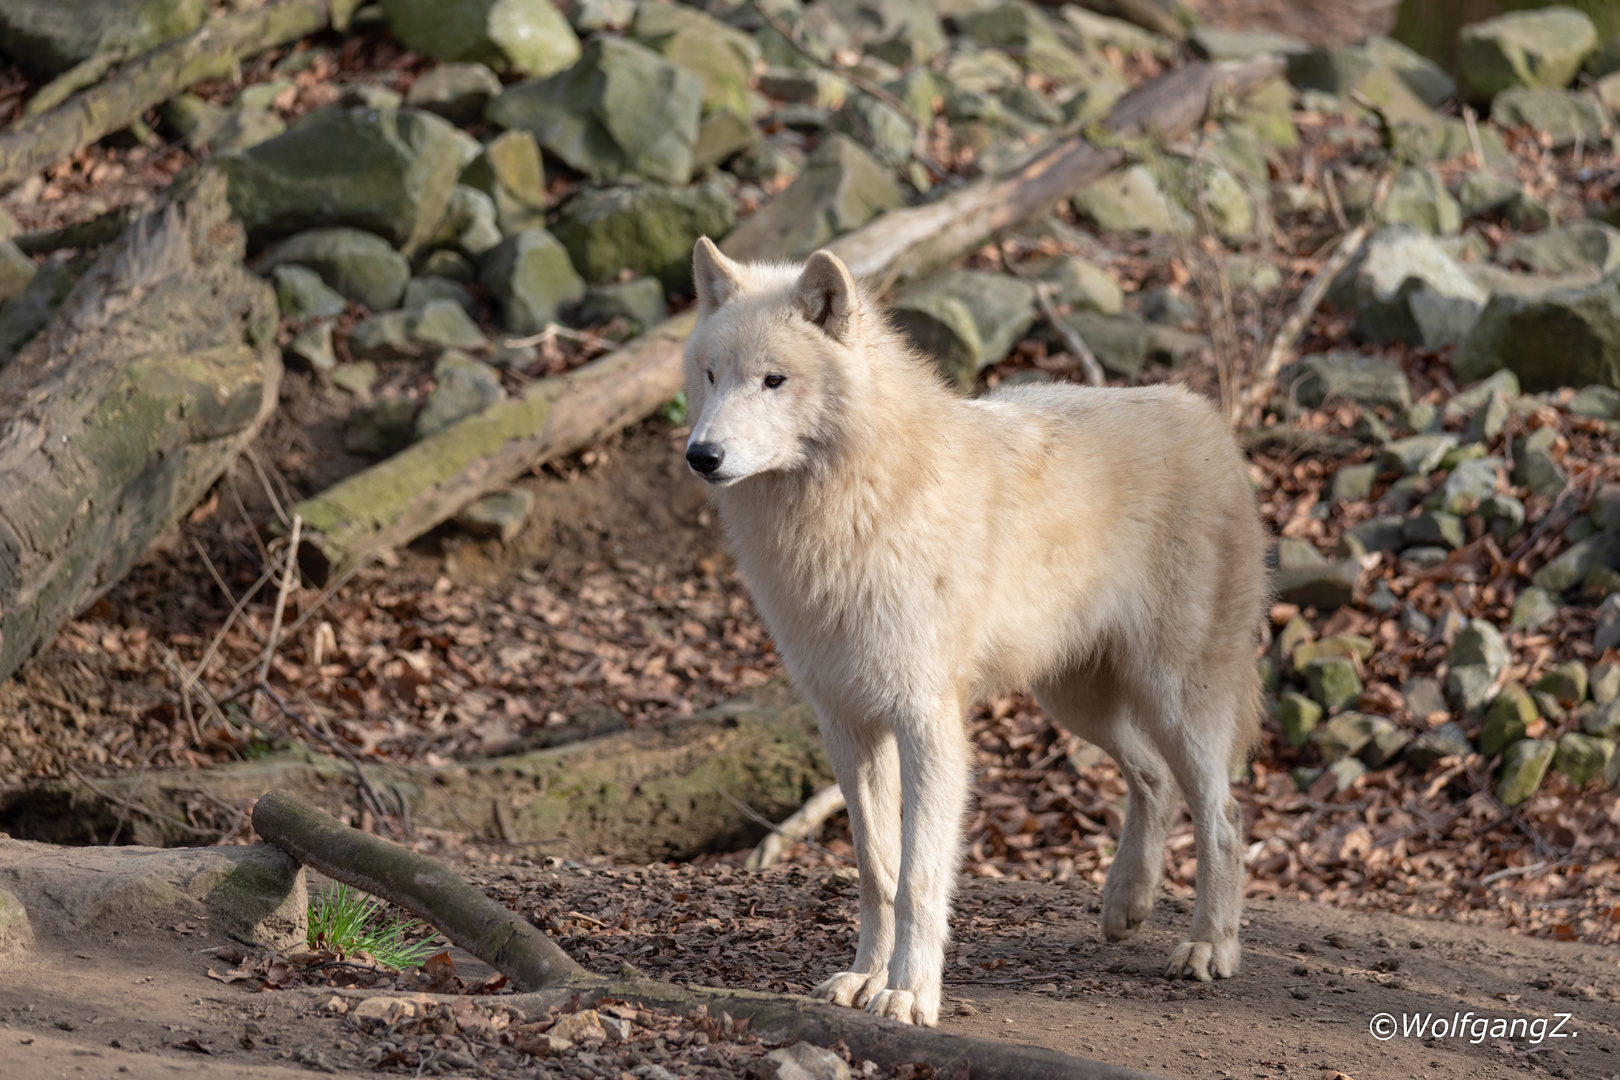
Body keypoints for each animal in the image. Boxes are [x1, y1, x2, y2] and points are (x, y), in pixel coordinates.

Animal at [680, 238, 1263, 1029]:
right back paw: (1126, 904)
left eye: (774, 380)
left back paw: (1210, 948)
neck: (853, 504)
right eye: (711, 376)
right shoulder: (847, 725)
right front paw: (864, 978)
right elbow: (877, 871)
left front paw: (908, 994)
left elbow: (921, 879)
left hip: (1174, 695)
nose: (700, 455)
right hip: (1076, 701)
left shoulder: (928, 723)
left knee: (1223, 814)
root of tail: (1203, 413)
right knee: (1153, 779)